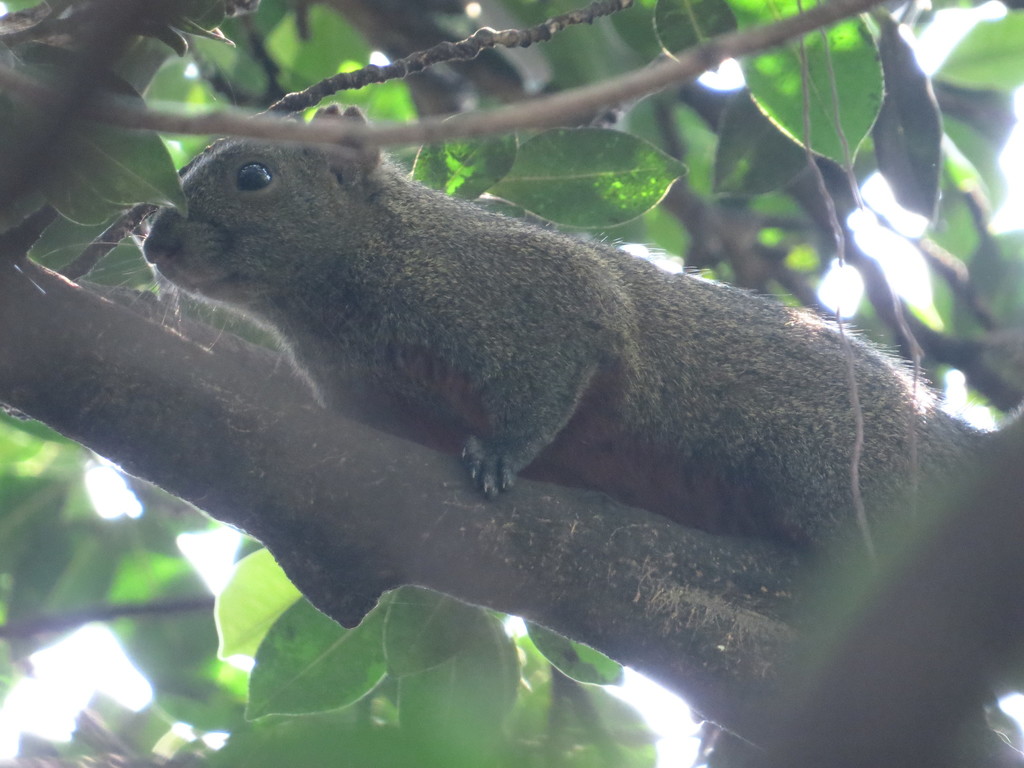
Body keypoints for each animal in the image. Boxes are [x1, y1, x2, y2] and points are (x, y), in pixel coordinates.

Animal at [143, 105, 982, 548]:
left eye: (255, 176)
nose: (154, 242)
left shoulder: (543, 297)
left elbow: (555, 380)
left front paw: (500, 455)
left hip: (846, 473)